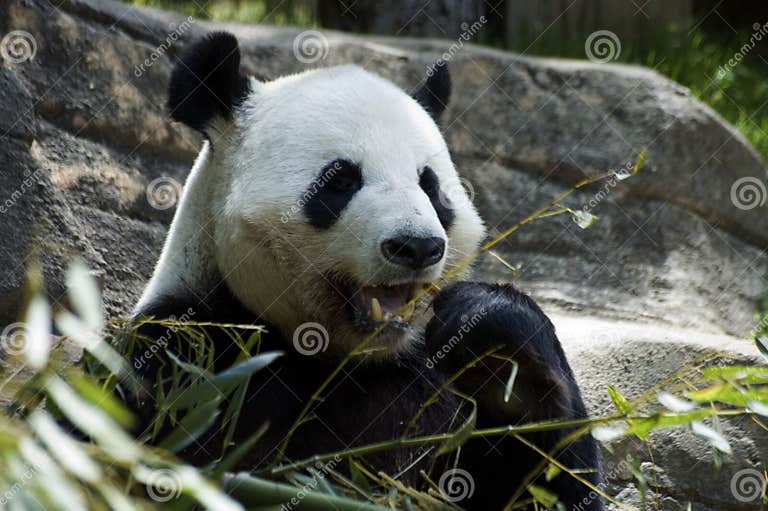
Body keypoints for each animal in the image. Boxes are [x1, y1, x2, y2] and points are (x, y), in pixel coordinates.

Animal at [130, 31, 601, 511]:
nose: (416, 246)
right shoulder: (191, 353)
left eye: (430, 186)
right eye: (340, 181)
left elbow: (547, 480)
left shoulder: (430, 377)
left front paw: (492, 337)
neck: (352, 357)